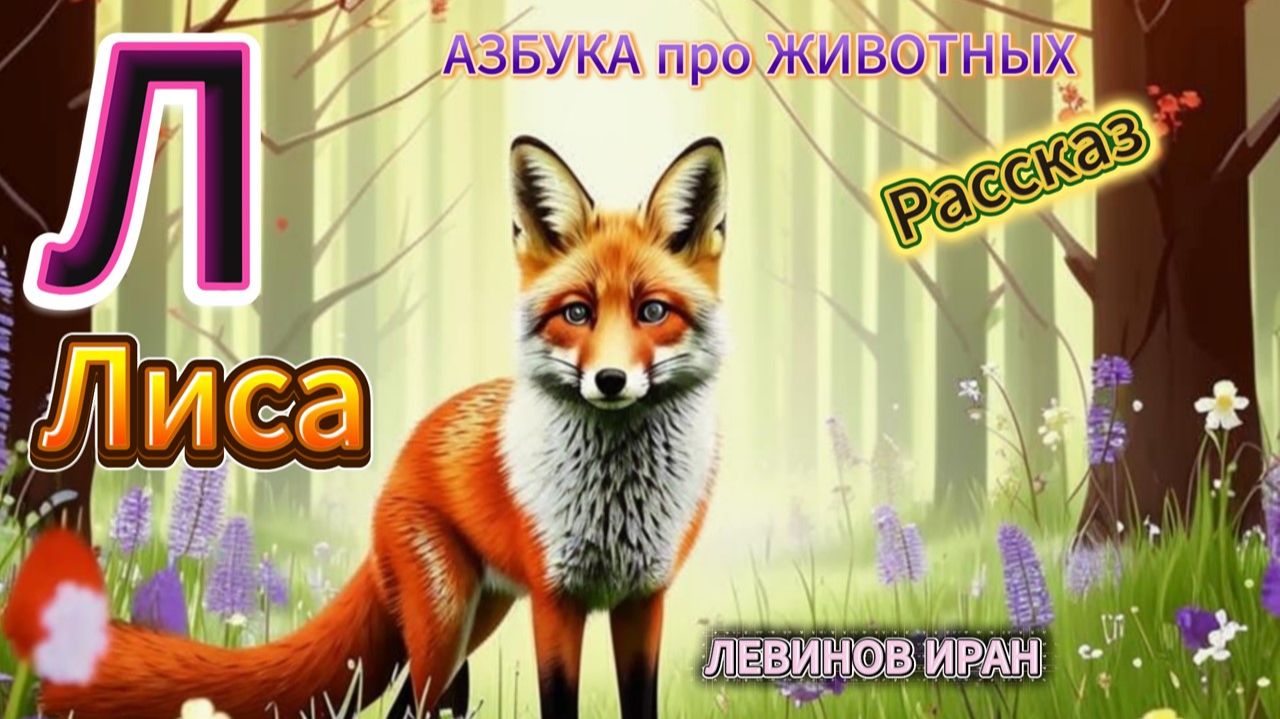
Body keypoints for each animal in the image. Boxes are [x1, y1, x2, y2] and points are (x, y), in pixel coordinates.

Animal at [31, 136, 729, 719]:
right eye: (577, 313)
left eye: (653, 312)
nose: (610, 380)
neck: (616, 504)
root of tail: (405, 451)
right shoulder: (556, 602)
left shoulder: (643, 599)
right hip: (446, 620)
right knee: (411, 707)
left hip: (477, 615)